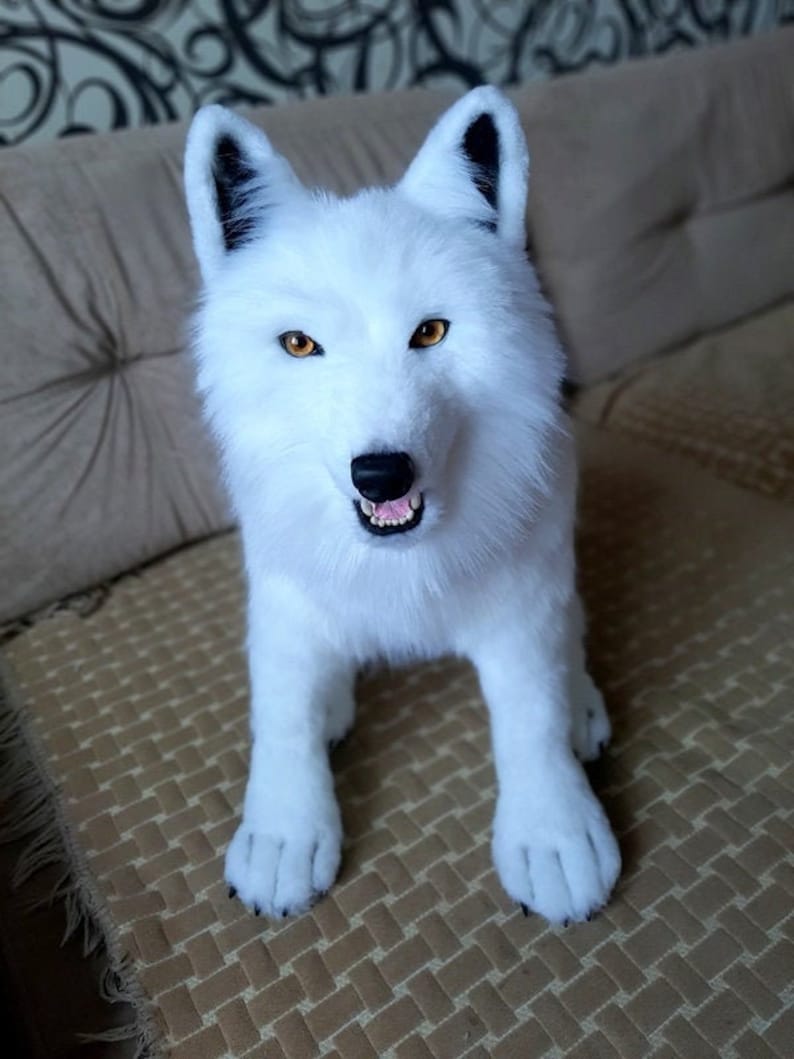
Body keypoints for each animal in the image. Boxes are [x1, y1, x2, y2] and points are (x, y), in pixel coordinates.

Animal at [184, 87, 620, 924]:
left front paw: (553, 831)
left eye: (431, 331)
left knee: (573, 633)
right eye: (299, 345)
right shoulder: (282, 606)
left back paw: (582, 704)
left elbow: (532, 720)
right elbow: (280, 719)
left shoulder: (521, 614)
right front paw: (284, 831)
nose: (381, 474)